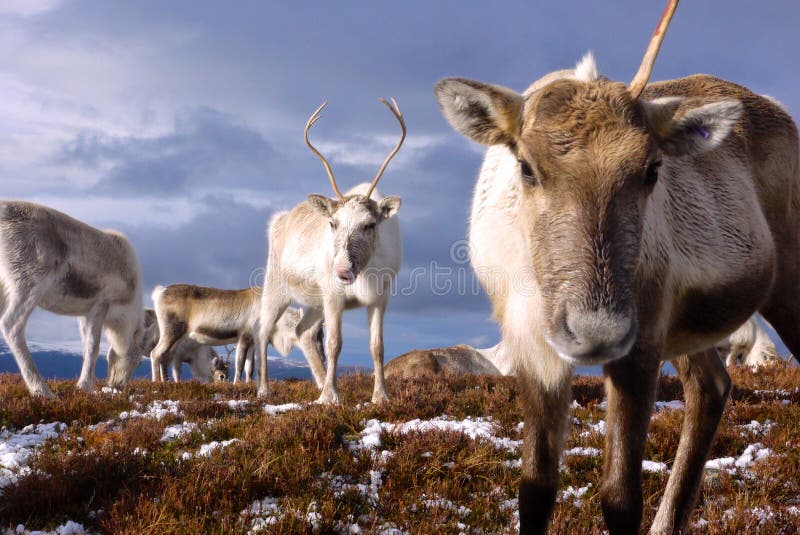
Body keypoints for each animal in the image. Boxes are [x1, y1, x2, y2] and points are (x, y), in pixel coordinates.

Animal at [0, 200, 147, 398]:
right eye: (138, 361)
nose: (117, 386)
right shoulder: (101, 303)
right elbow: (93, 347)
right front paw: (87, 387)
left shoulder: (83, 313)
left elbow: (85, 346)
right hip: (28, 284)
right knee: (11, 326)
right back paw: (42, 390)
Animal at [149, 284, 325, 387]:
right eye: (315, 334)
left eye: (321, 334)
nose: (323, 357)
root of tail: (159, 293)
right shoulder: (244, 337)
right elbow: (240, 365)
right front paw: (236, 384)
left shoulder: (253, 342)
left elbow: (250, 367)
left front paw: (247, 384)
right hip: (171, 330)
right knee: (155, 353)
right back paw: (156, 382)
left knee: (164, 356)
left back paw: (165, 382)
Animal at [256, 99, 404, 404]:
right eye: (333, 223)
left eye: (370, 224)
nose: (343, 270)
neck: (364, 273)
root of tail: (279, 220)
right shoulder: (334, 295)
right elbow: (335, 343)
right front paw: (329, 397)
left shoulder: (380, 297)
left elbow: (377, 346)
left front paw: (381, 395)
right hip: (276, 287)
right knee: (263, 332)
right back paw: (265, 389)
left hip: (314, 301)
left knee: (303, 331)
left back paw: (320, 381)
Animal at [433, 0, 800, 532]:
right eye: (526, 166)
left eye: (652, 169)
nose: (595, 333)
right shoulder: (532, 343)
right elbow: (534, 487)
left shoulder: (640, 340)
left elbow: (620, 496)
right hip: (685, 329)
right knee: (711, 387)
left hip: (784, 280)